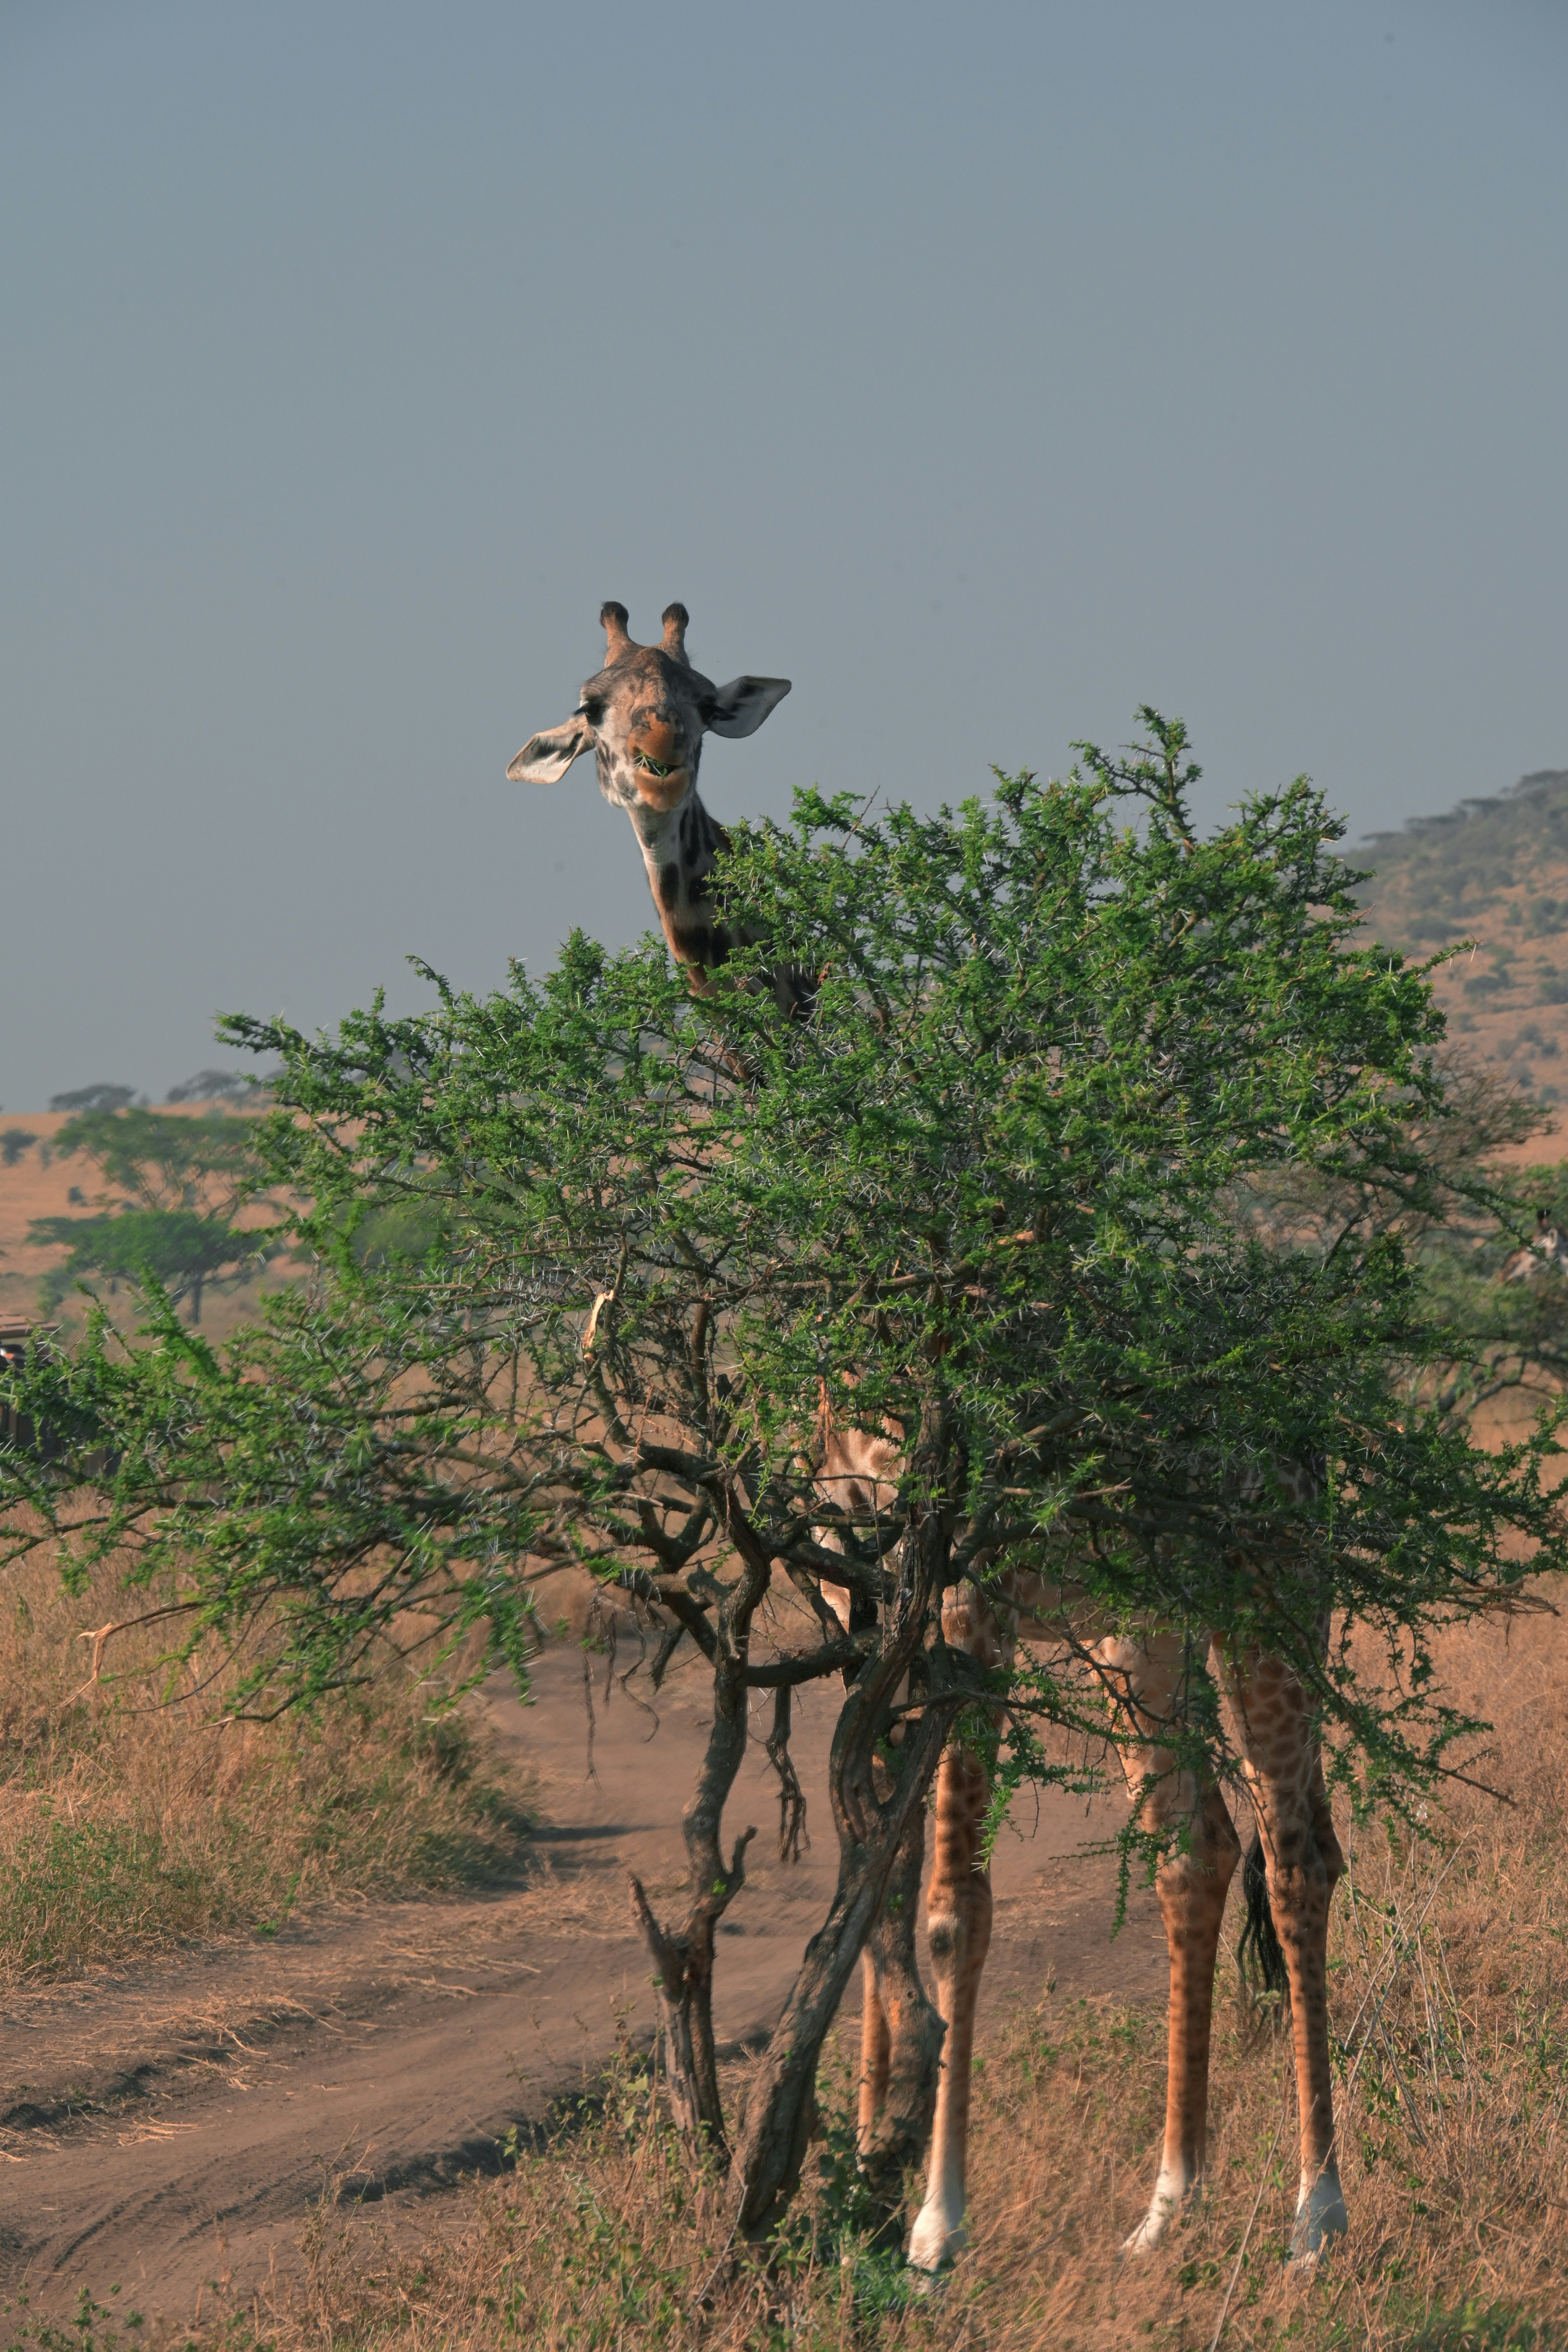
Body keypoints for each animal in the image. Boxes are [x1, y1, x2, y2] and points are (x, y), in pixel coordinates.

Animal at [507, 604, 1349, 2272]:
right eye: (592, 699)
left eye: (693, 691)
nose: (658, 759)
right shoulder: (860, 1592)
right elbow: (873, 1883)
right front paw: (858, 2159)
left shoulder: (965, 1588)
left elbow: (953, 1897)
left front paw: (931, 2218)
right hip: (1142, 1612)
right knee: (1195, 1840)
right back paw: (1165, 2202)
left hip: (1260, 1584)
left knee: (1294, 1848)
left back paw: (1314, 2213)